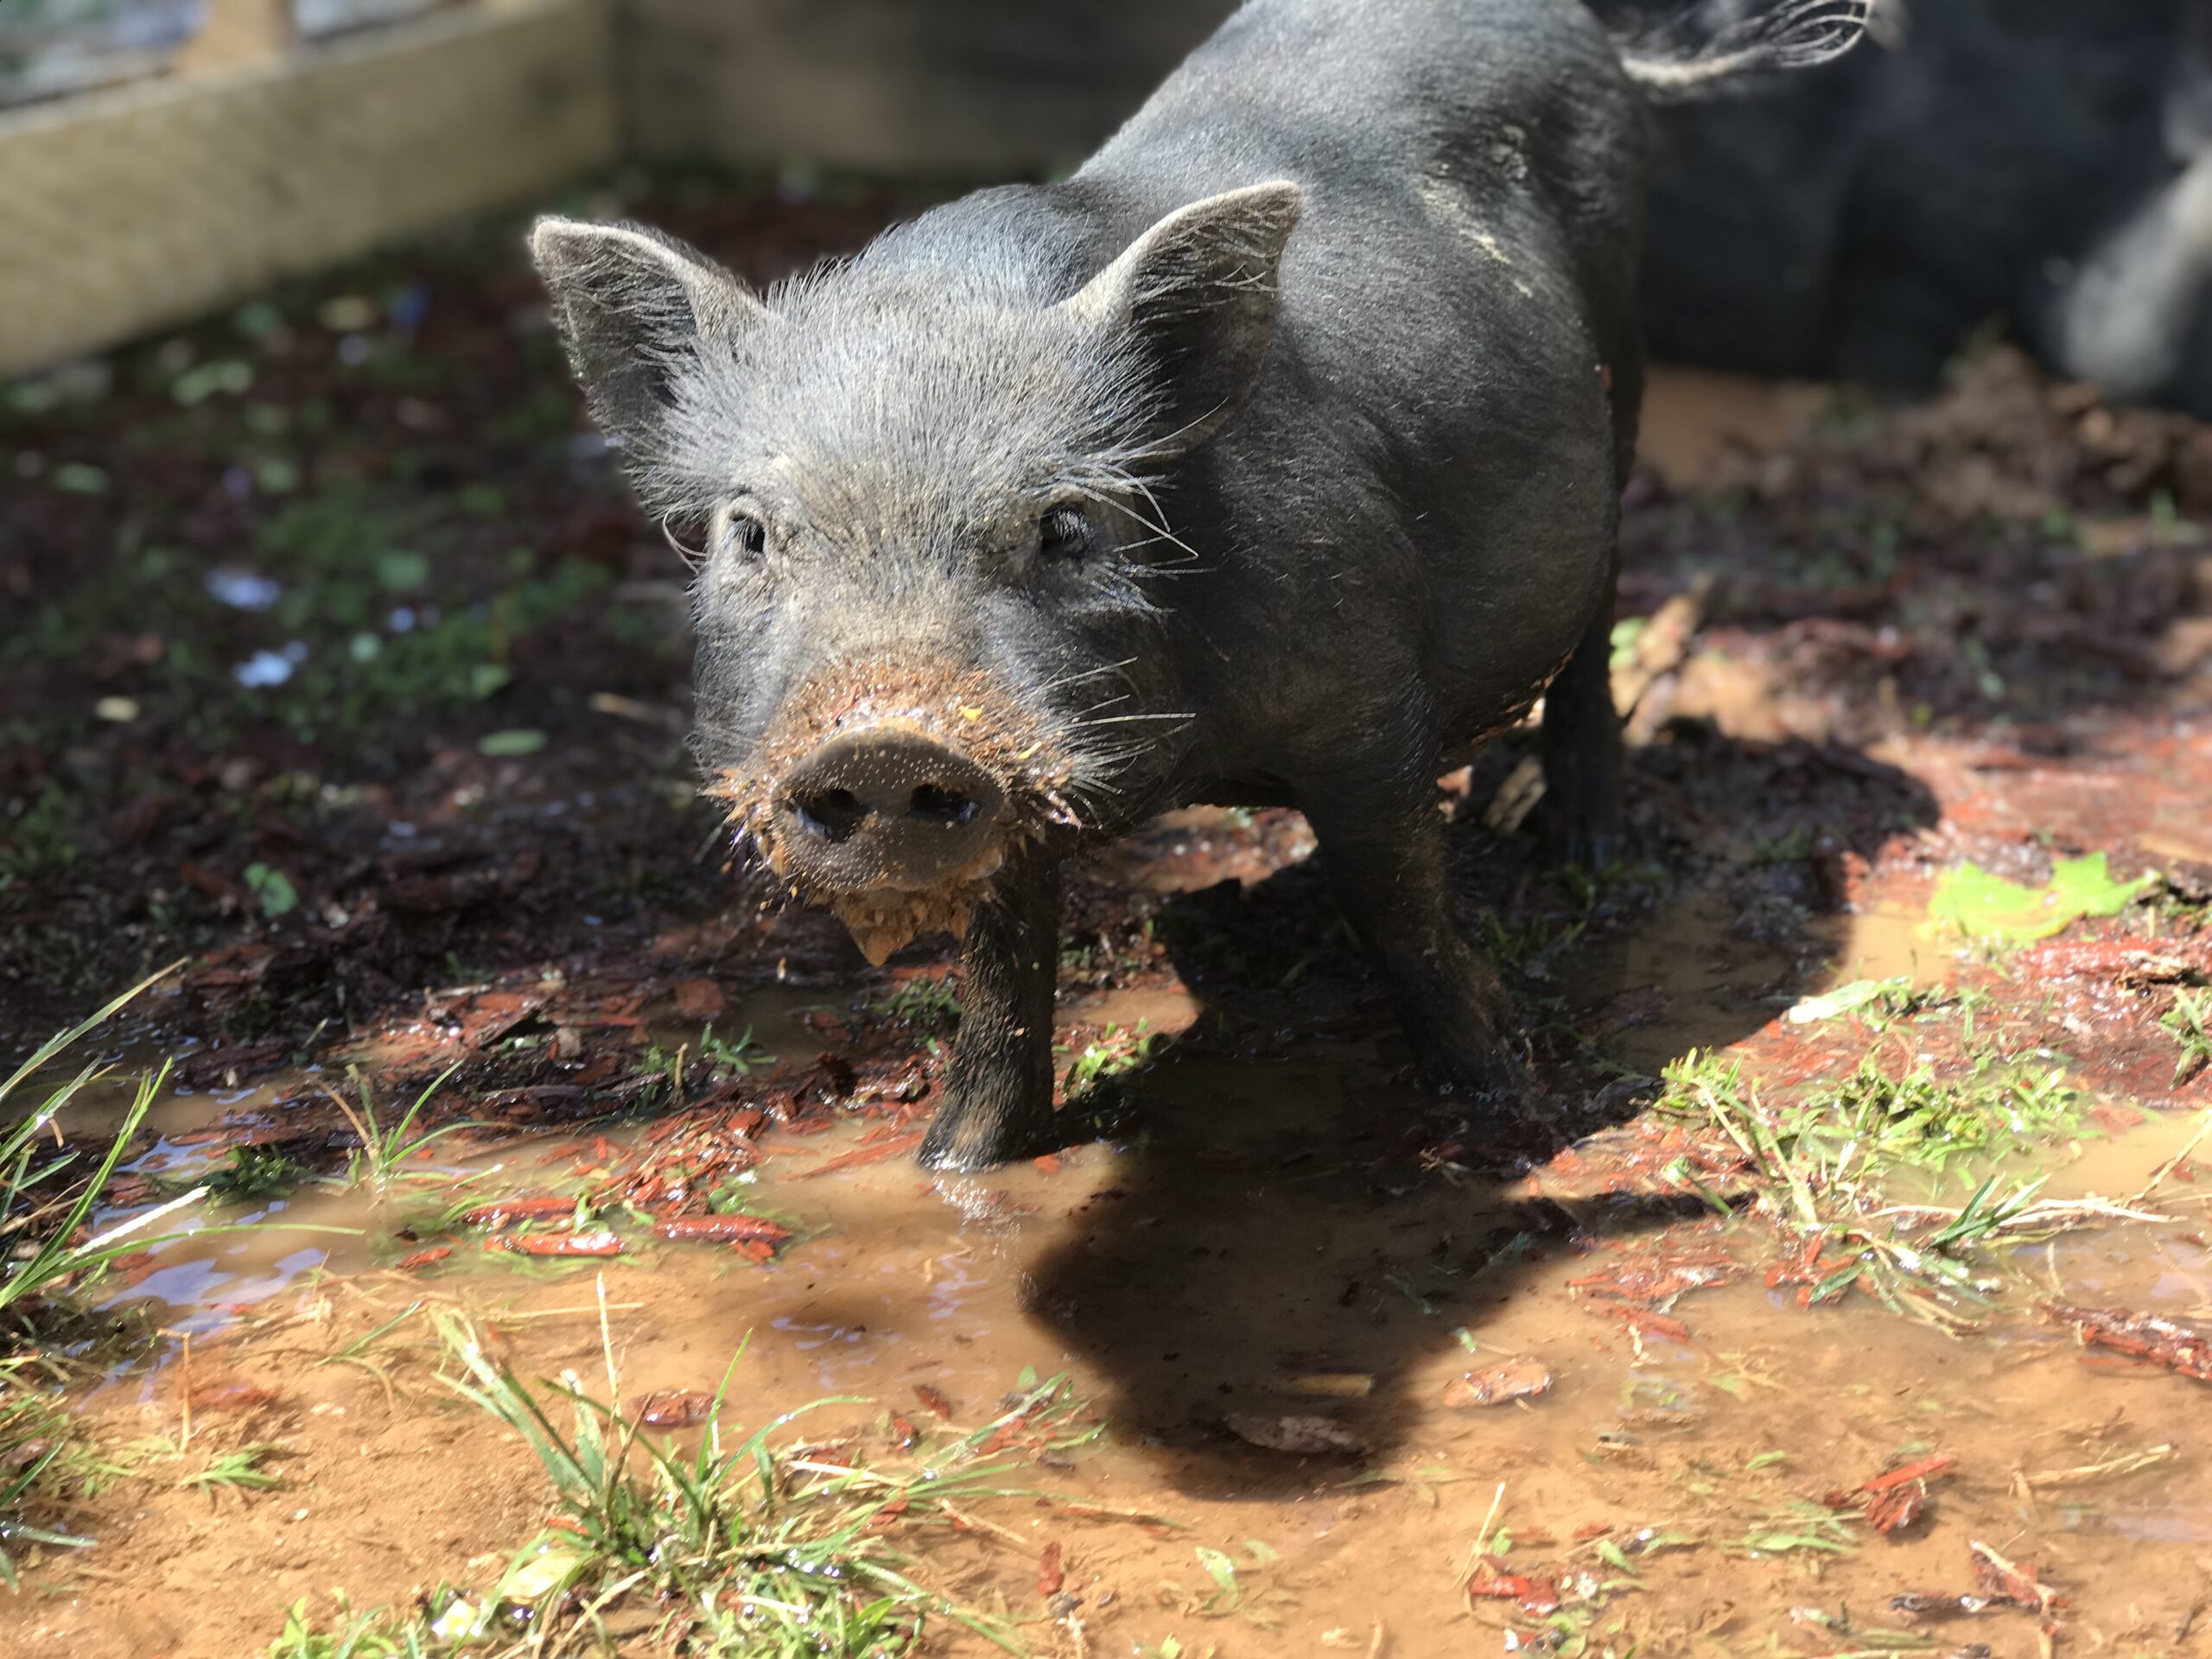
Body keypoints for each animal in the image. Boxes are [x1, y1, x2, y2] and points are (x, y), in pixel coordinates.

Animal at [531, 0, 1865, 1169]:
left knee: (1596, 626)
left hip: (1621, 389)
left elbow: (1398, 902)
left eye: (1066, 524)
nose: (883, 742)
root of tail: (1609, 44)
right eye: (752, 533)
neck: (1179, 767)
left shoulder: (1367, 710)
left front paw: (1500, 1091)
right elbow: (1002, 973)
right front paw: (954, 1165)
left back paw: (1576, 842)